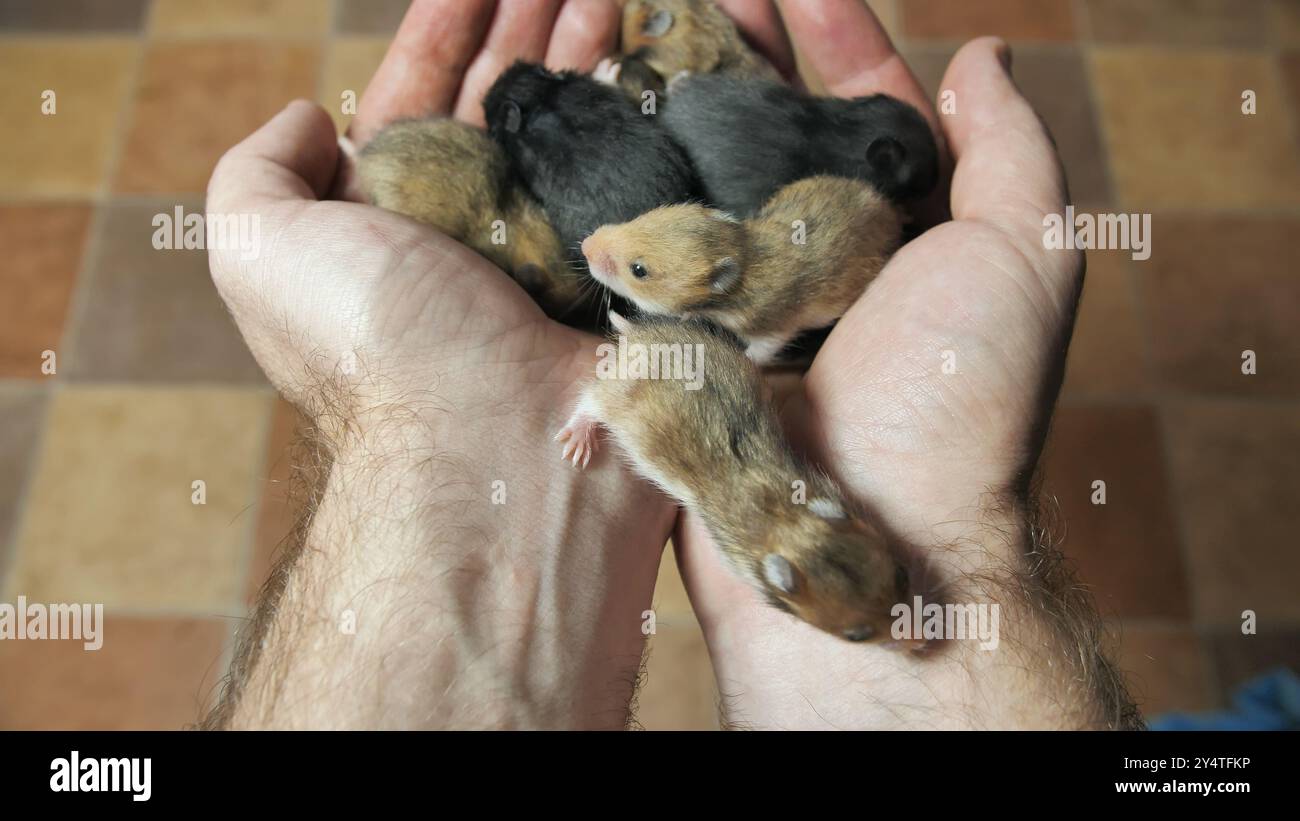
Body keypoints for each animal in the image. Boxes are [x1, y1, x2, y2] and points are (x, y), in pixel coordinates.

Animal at [556, 311, 910, 643]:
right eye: (856, 636)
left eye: (901, 574)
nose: (920, 646)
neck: (783, 519)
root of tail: (639, 334)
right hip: (614, 396)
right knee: (588, 403)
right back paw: (577, 443)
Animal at [581, 176, 902, 363]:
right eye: (645, 217)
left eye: (638, 270)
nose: (585, 245)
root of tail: (887, 210)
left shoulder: (772, 331)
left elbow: (758, 352)